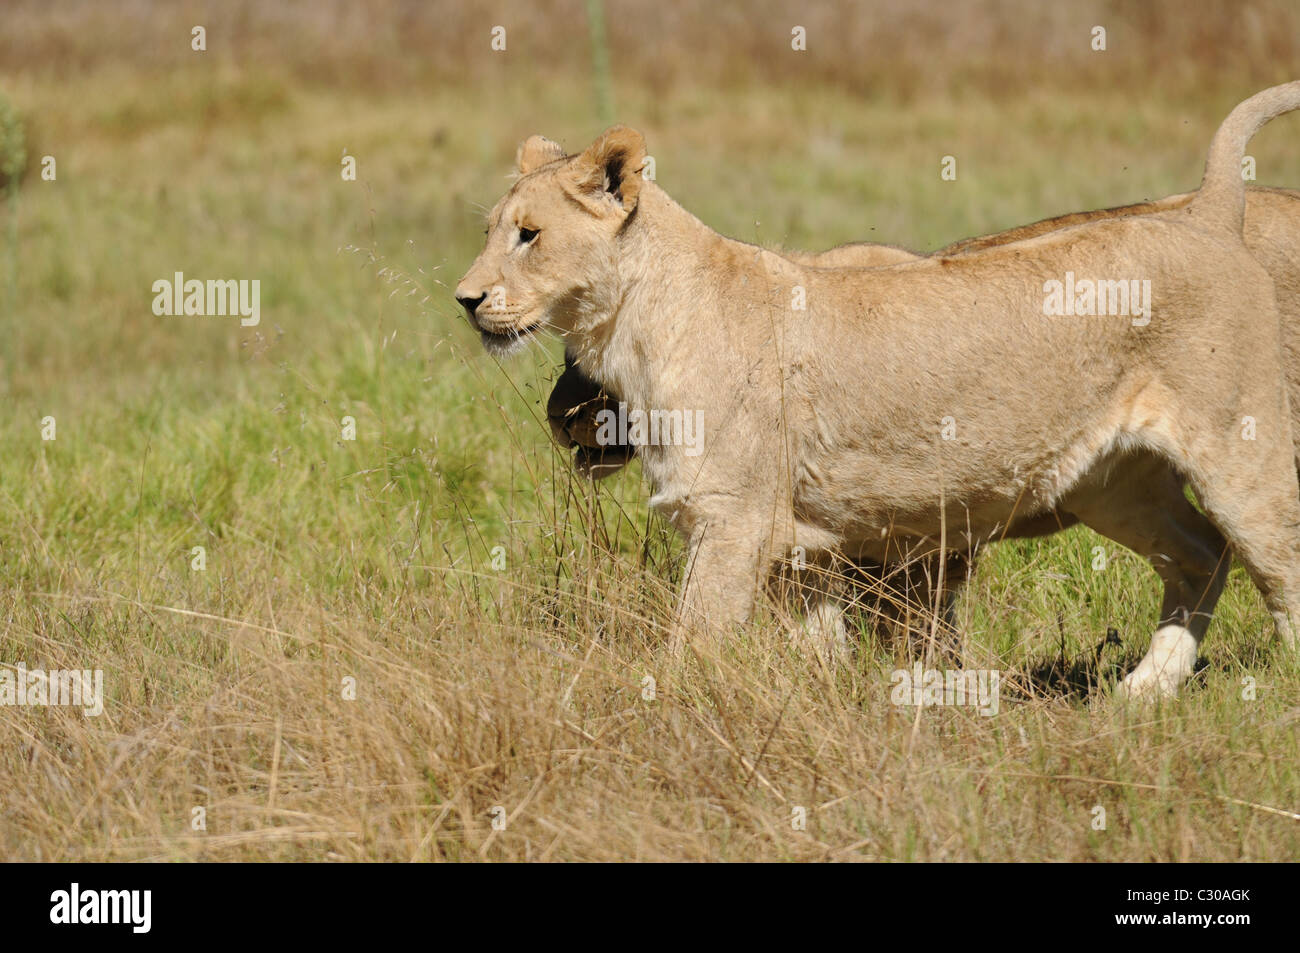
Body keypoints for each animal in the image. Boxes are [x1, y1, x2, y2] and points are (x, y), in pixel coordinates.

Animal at [456, 82, 1300, 698]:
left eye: (529, 235)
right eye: (492, 227)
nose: (465, 299)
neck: (633, 330)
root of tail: (1207, 212)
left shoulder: (732, 518)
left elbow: (692, 642)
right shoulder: (806, 543)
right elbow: (819, 648)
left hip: (1237, 445)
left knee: (1275, 555)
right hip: (1114, 481)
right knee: (1202, 552)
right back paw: (1143, 691)